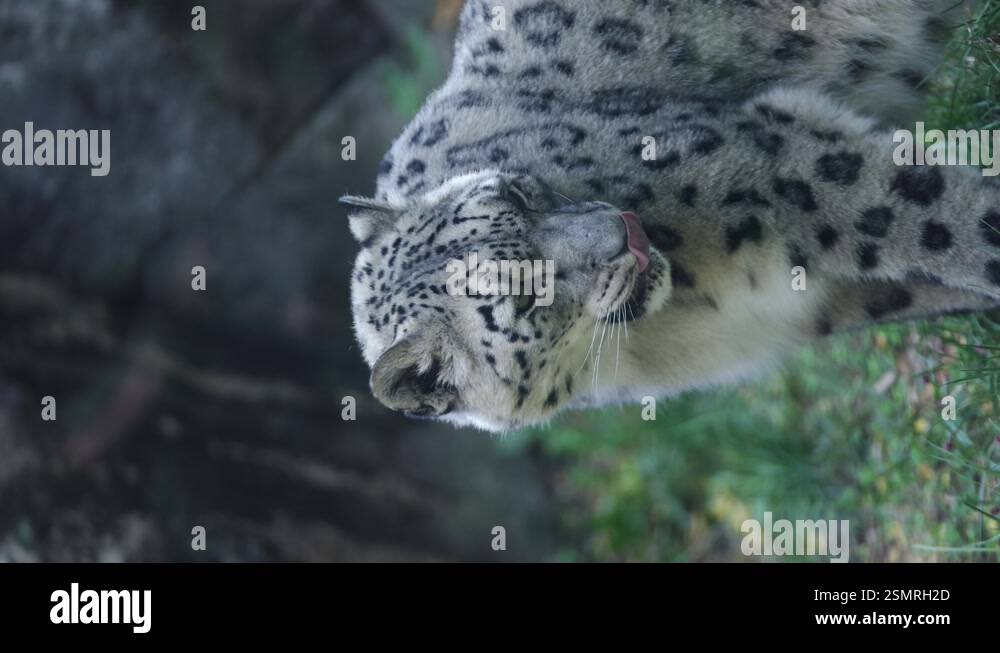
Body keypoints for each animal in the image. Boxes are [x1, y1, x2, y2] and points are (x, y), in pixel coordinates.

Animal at [342, 0, 999, 433]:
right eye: (527, 298)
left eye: (518, 193)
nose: (621, 231)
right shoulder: (805, 307)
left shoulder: (776, 170)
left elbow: (936, 222)